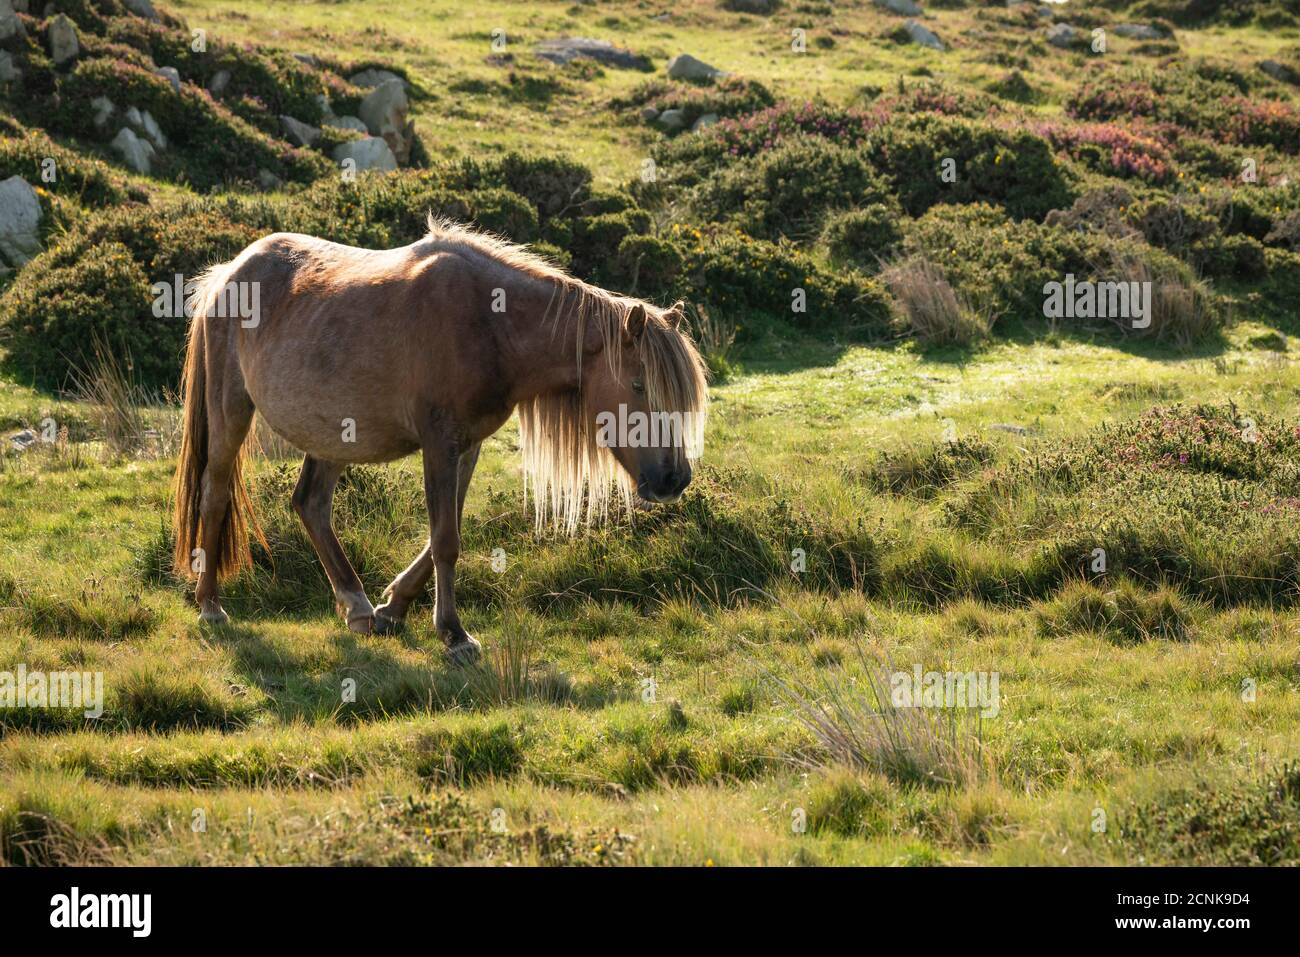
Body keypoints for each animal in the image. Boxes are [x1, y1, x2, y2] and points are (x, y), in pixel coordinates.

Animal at [171, 217, 709, 662]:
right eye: (639, 385)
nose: (674, 479)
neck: (491, 324)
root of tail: (228, 273)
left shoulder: (466, 446)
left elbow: (442, 534)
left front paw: (393, 608)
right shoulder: (439, 442)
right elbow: (446, 539)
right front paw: (453, 634)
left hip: (333, 436)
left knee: (311, 504)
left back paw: (357, 605)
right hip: (230, 412)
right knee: (215, 495)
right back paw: (210, 604)